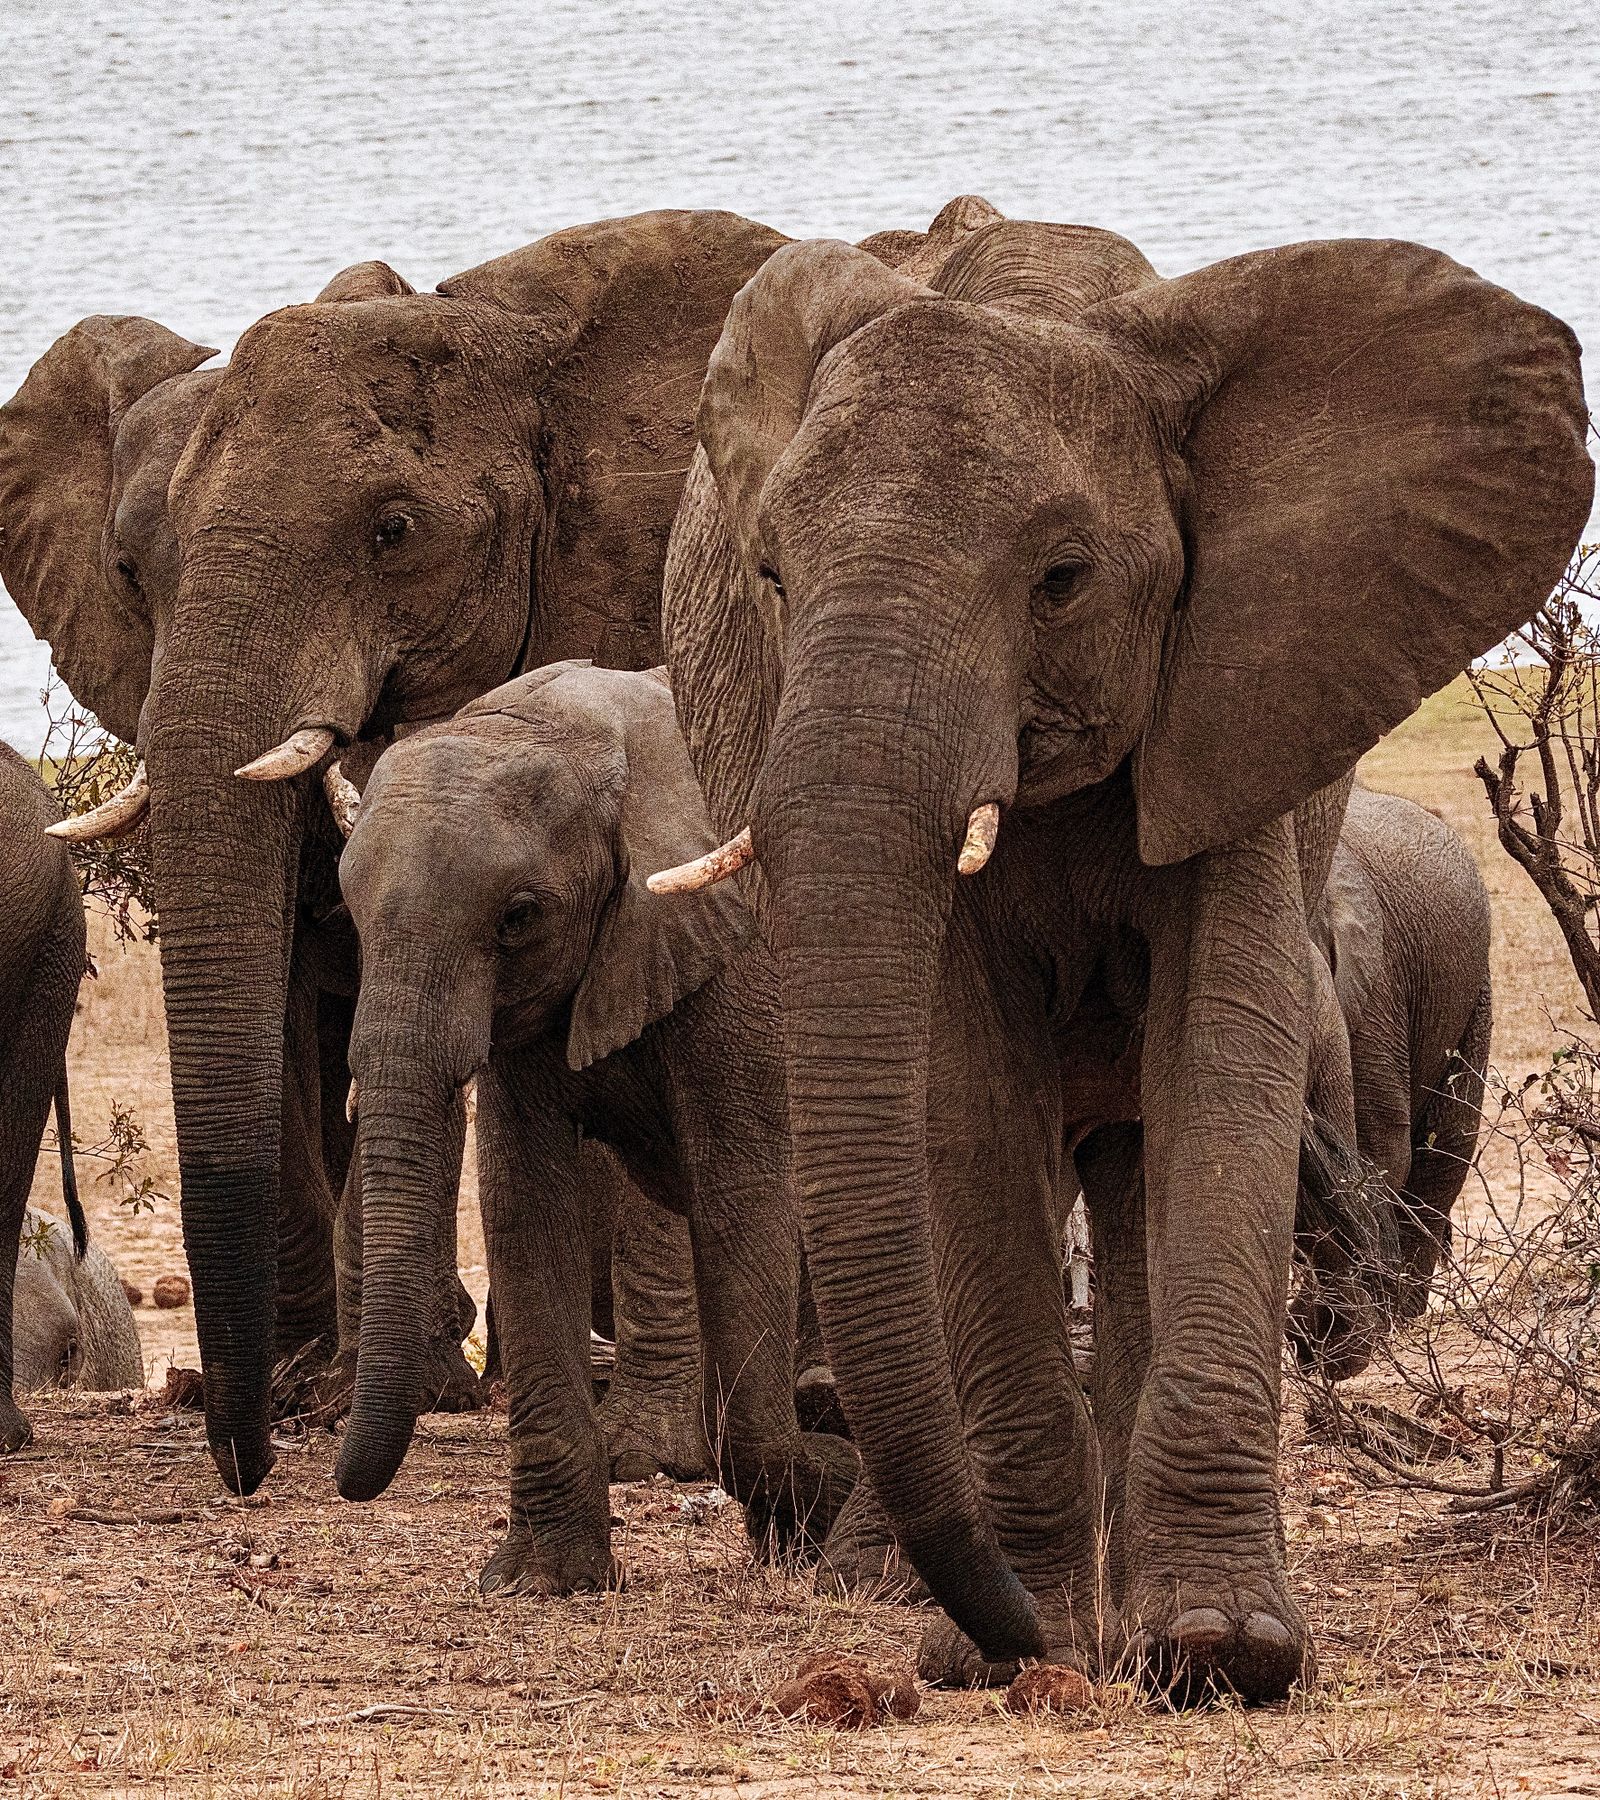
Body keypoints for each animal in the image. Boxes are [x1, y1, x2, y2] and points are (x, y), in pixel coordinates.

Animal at [333, 660, 858, 1592]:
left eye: (518, 915)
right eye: (348, 911)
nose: (340, 1477)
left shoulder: (739, 955)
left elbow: (745, 1194)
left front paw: (831, 1473)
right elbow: (525, 1204)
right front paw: (543, 1581)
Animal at [657, 203, 1591, 1699]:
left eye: (1060, 581)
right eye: (771, 578)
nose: (1009, 1639)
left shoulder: (1249, 691)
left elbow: (1221, 1052)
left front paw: (1219, 1654)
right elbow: (966, 1092)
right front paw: (1014, 1638)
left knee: (1141, 1152)